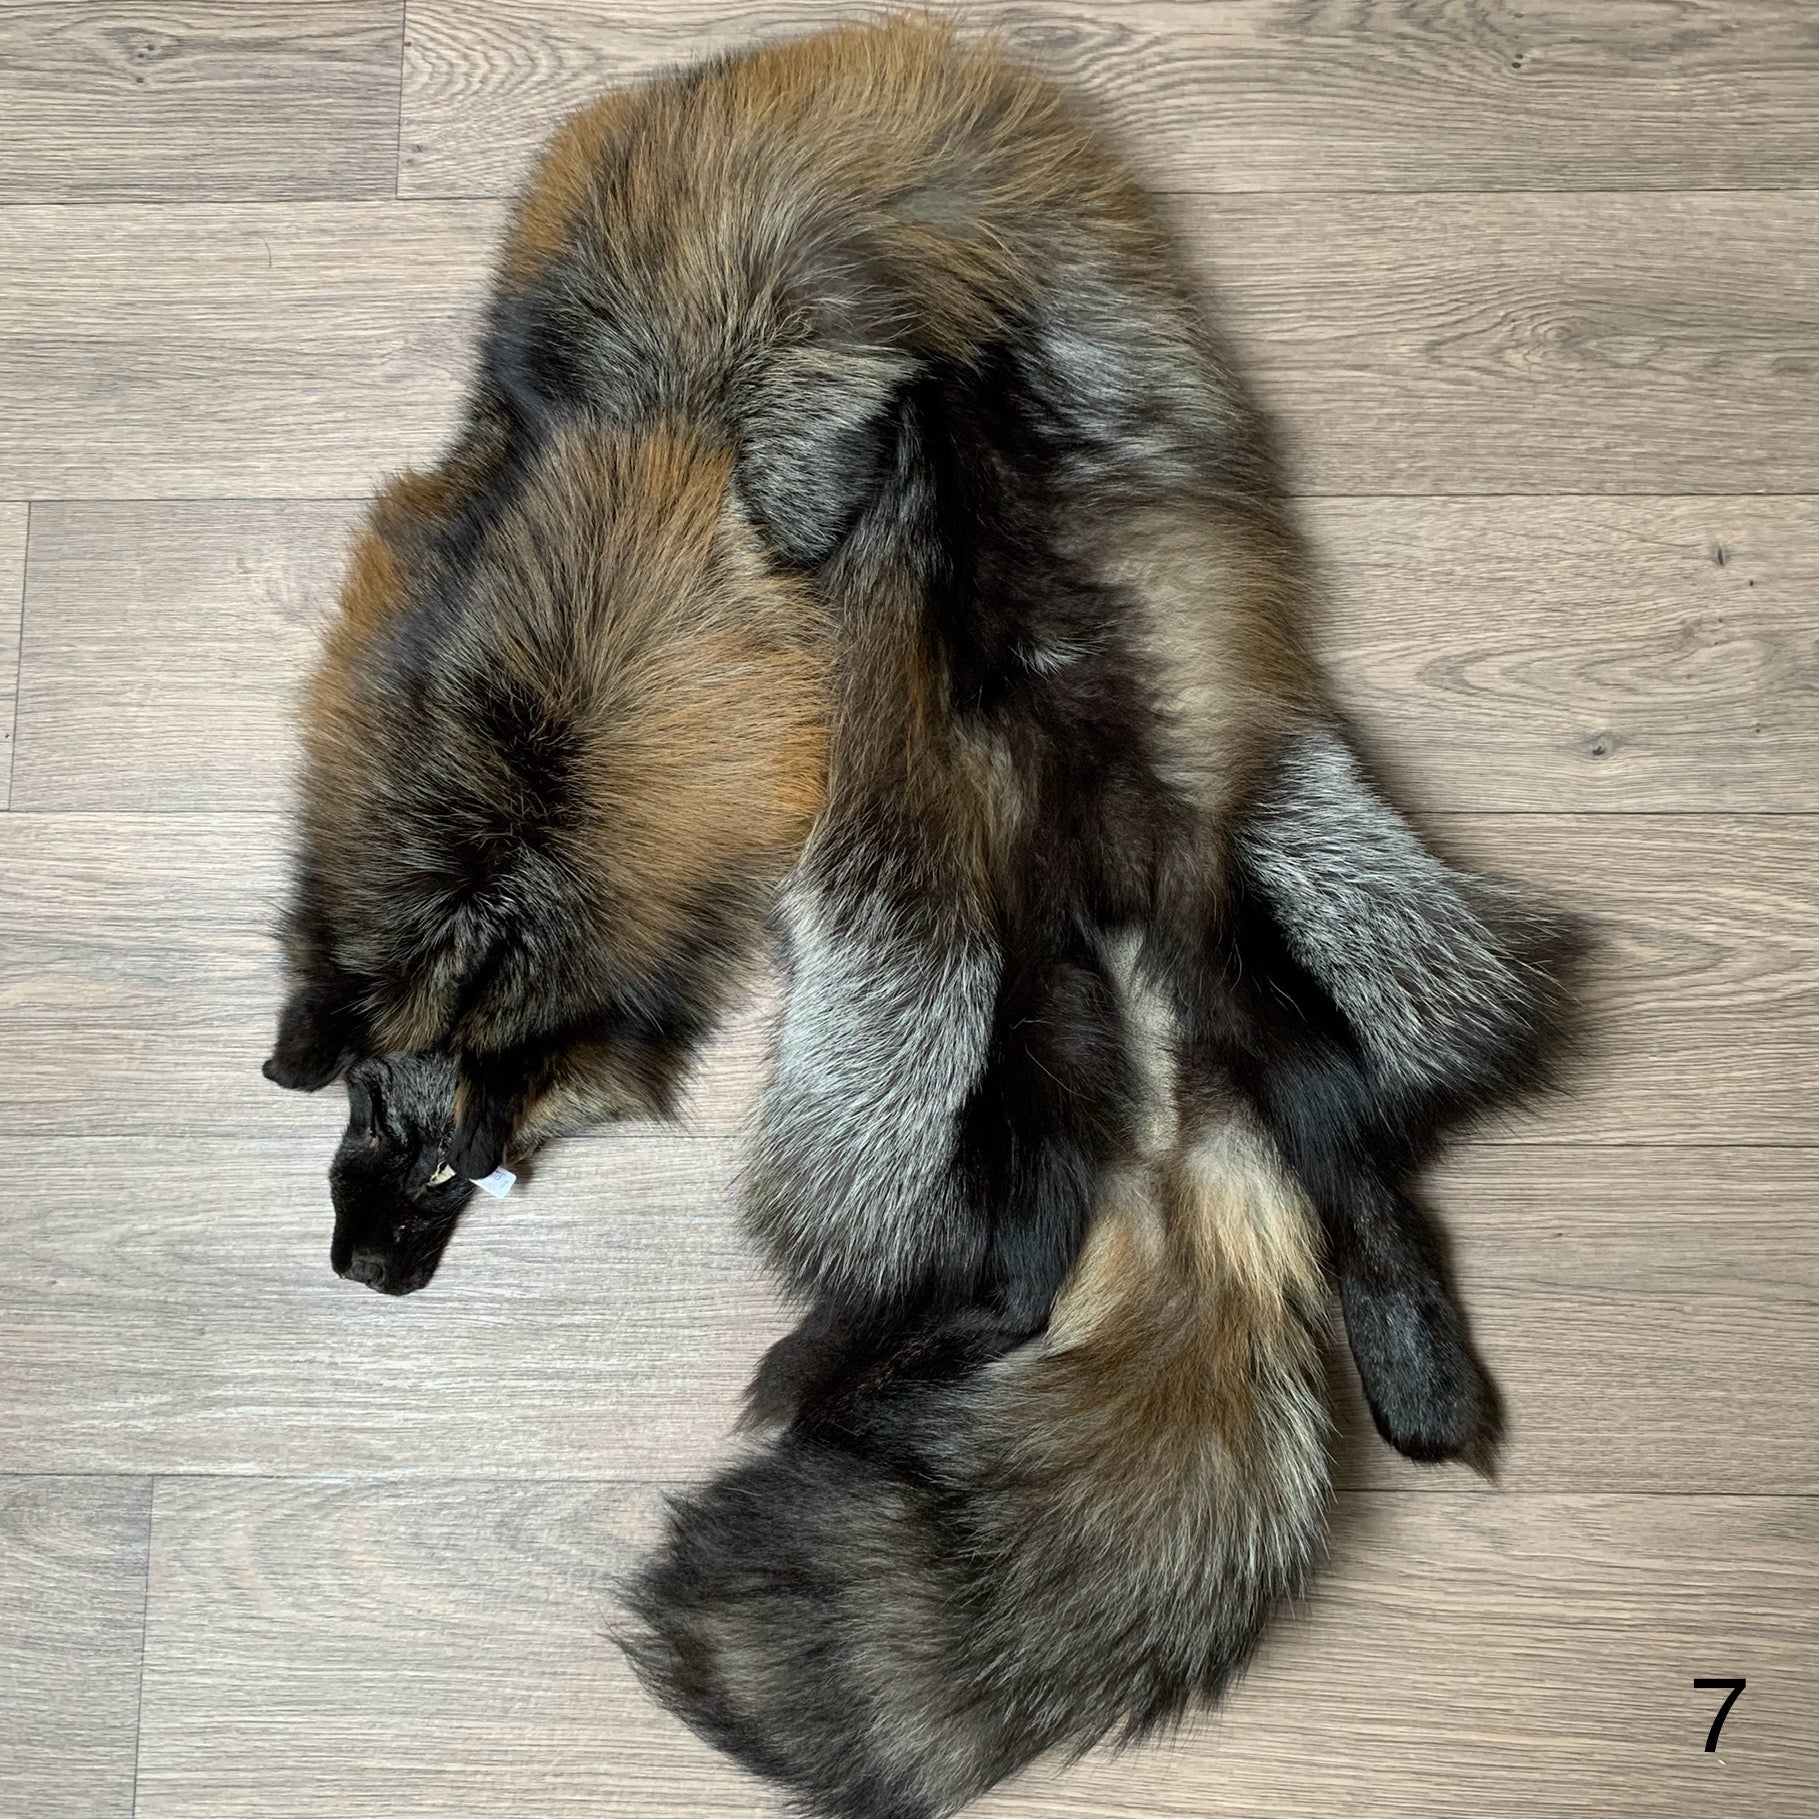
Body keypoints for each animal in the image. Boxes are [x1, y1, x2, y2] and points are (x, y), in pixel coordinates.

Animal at [265, 18, 1575, 1816]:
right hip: (1119, 931)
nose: (361, 1274)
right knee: (1282, 1130)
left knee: (1095, 1201)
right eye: (369, 1131)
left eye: (461, 1163)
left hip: (1017, 904)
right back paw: (1394, 1345)